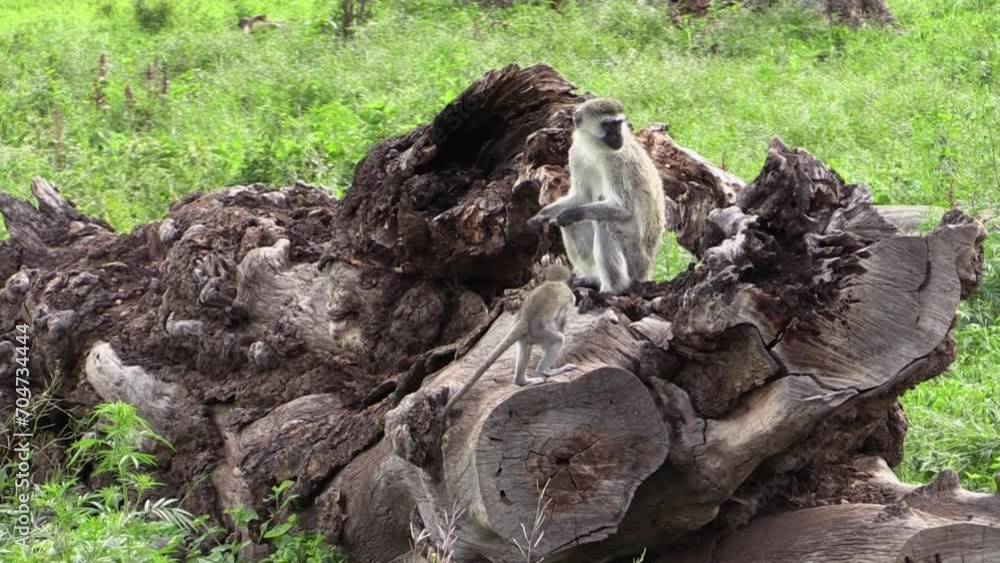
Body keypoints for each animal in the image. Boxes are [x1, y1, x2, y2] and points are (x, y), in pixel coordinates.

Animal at [442, 264, 576, 417]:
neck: (554, 281)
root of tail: (523, 319)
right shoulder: (570, 298)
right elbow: (561, 323)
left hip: (530, 334)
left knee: (526, 346)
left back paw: (522, 382)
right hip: (539, 331)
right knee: (558, 339)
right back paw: (544, 371)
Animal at [528, 98, 666, 296]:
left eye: (618, 124)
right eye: (608, 125)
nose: (619, 136)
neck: (595, 149)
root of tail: (646, 269)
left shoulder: (618, 160)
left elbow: (622, 208)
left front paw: (574, 212)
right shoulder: (575, 153)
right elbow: (581, 197)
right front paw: (542, 215)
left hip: (635, 259)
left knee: (604, 223)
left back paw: (611, 290)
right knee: (569, 225)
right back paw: (592, 278)